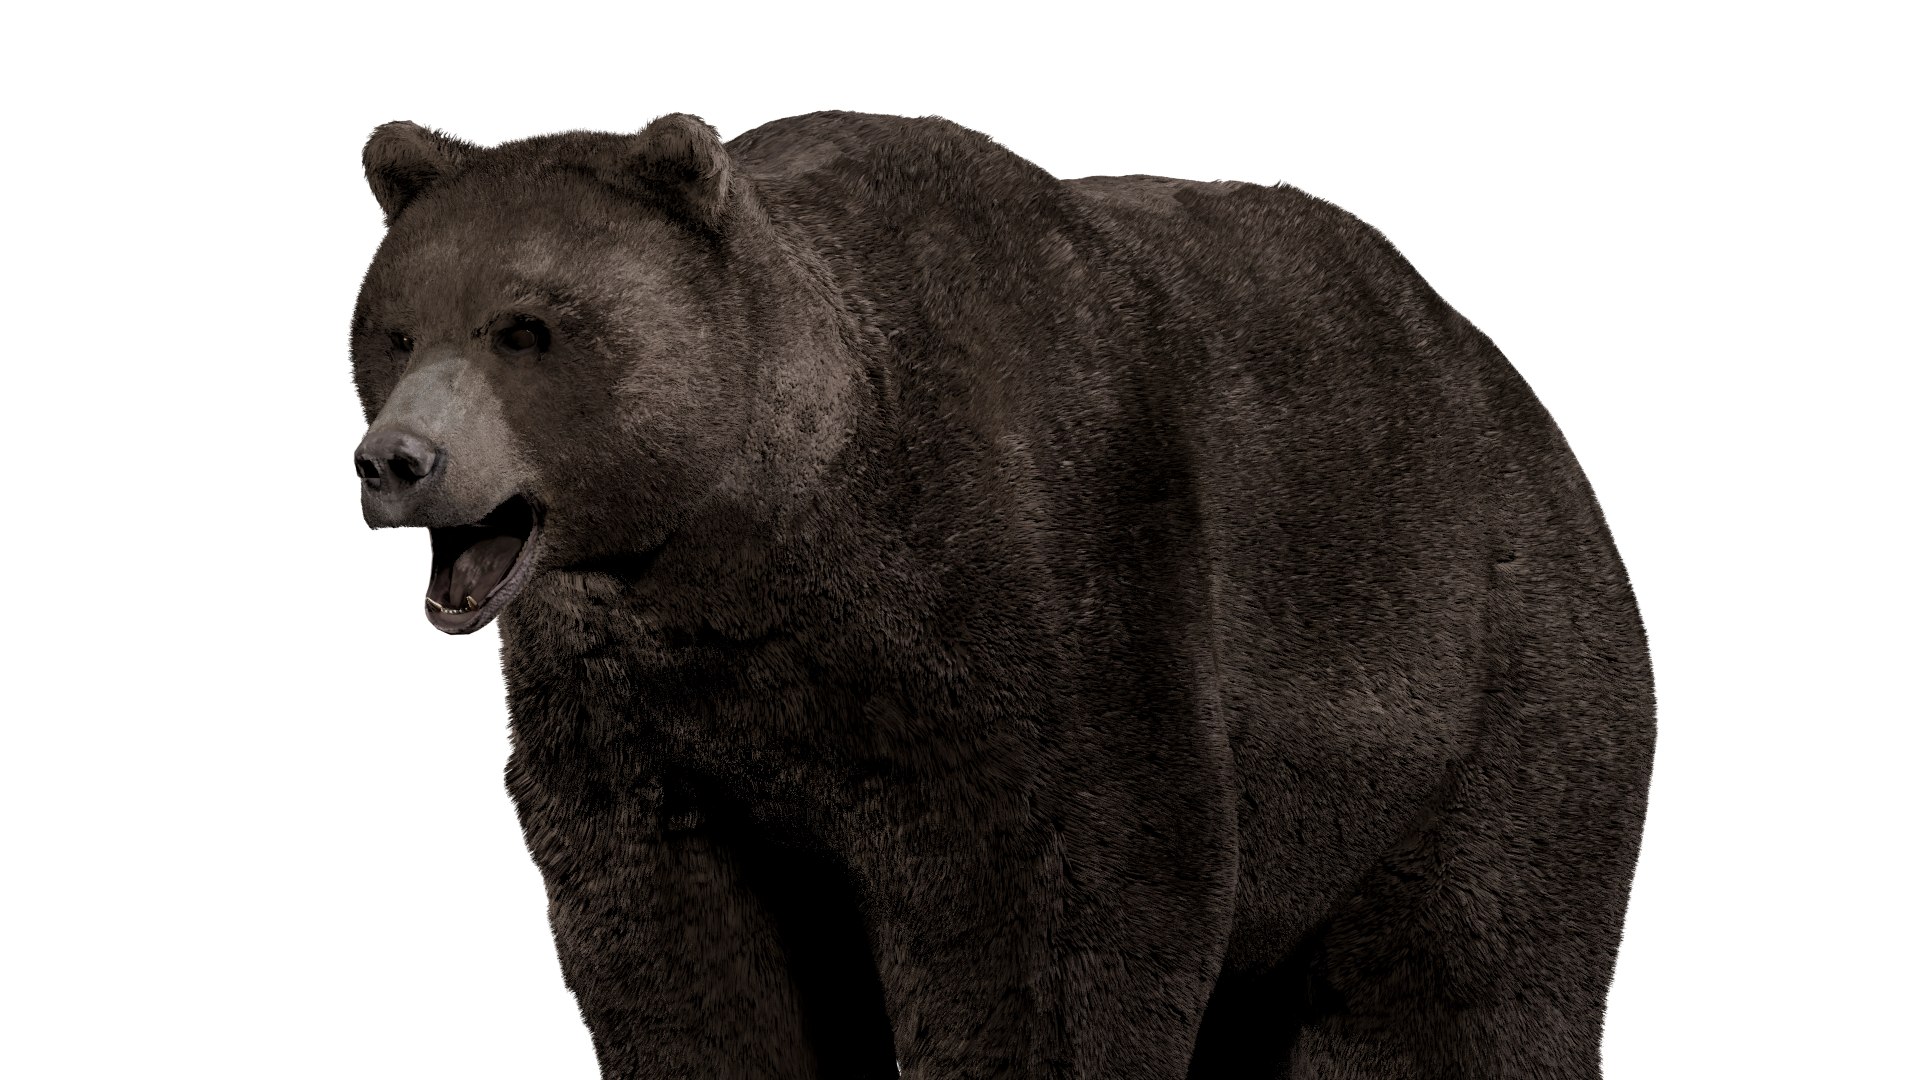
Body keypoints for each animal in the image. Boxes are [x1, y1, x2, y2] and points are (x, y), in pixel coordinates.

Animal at [348, 110, 1655, 1079]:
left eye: (527, 328)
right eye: (393, 329)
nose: (396, 460)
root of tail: (1515, 393)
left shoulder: (1032, 592)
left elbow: (1061, 897)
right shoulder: (634, 710)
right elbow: (666, 929)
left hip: (1481, 694)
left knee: (1466, 975)